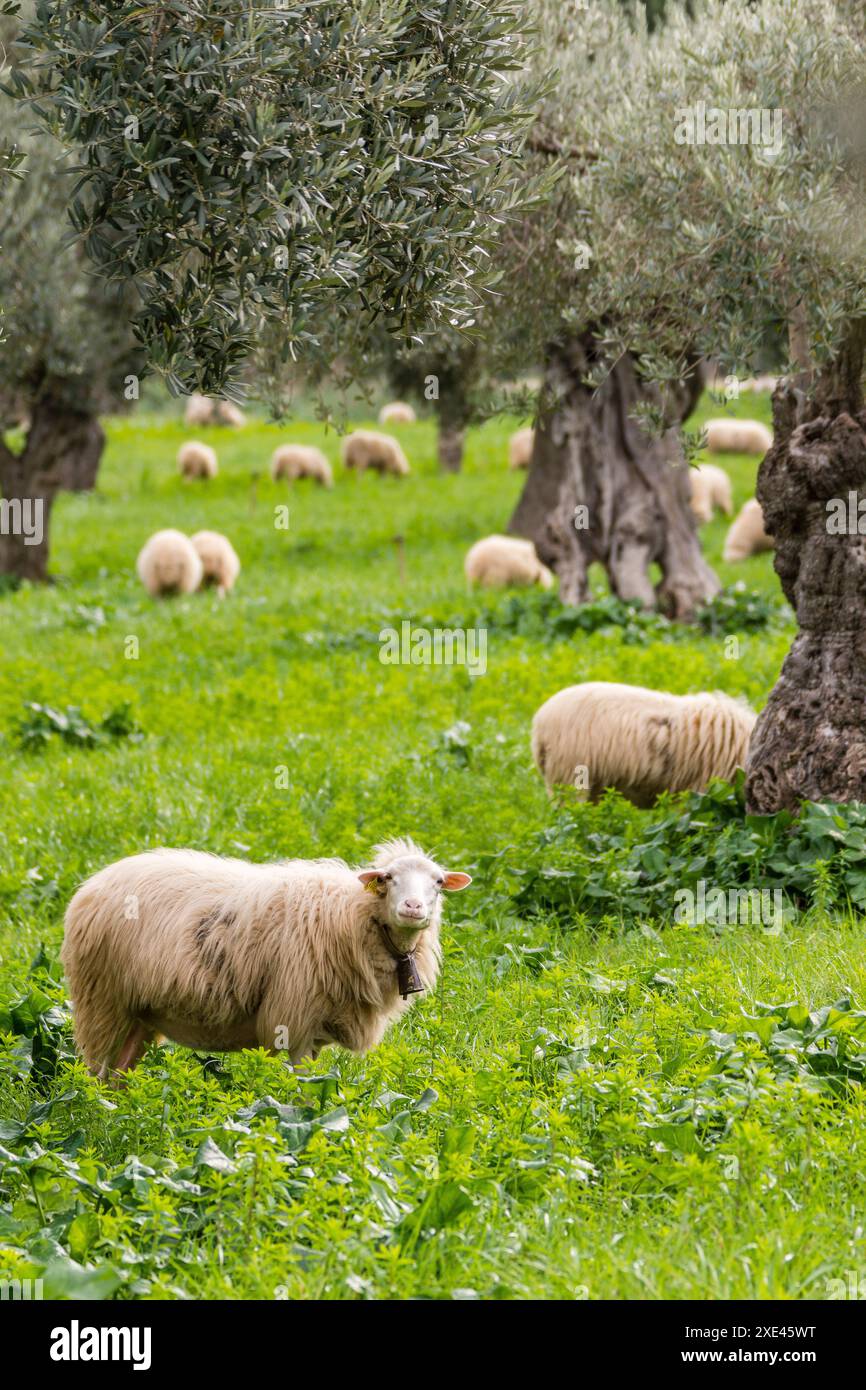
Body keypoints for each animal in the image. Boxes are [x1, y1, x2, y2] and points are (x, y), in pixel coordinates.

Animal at [61, 838, 472, 1080]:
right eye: (387, 878)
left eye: (437, 882)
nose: (413, 907)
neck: (354, 916)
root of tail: (92, 884)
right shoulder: (294, 1022)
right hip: (103, 1001)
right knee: (96, 1076)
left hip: (139, 1015)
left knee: (118, 1077)